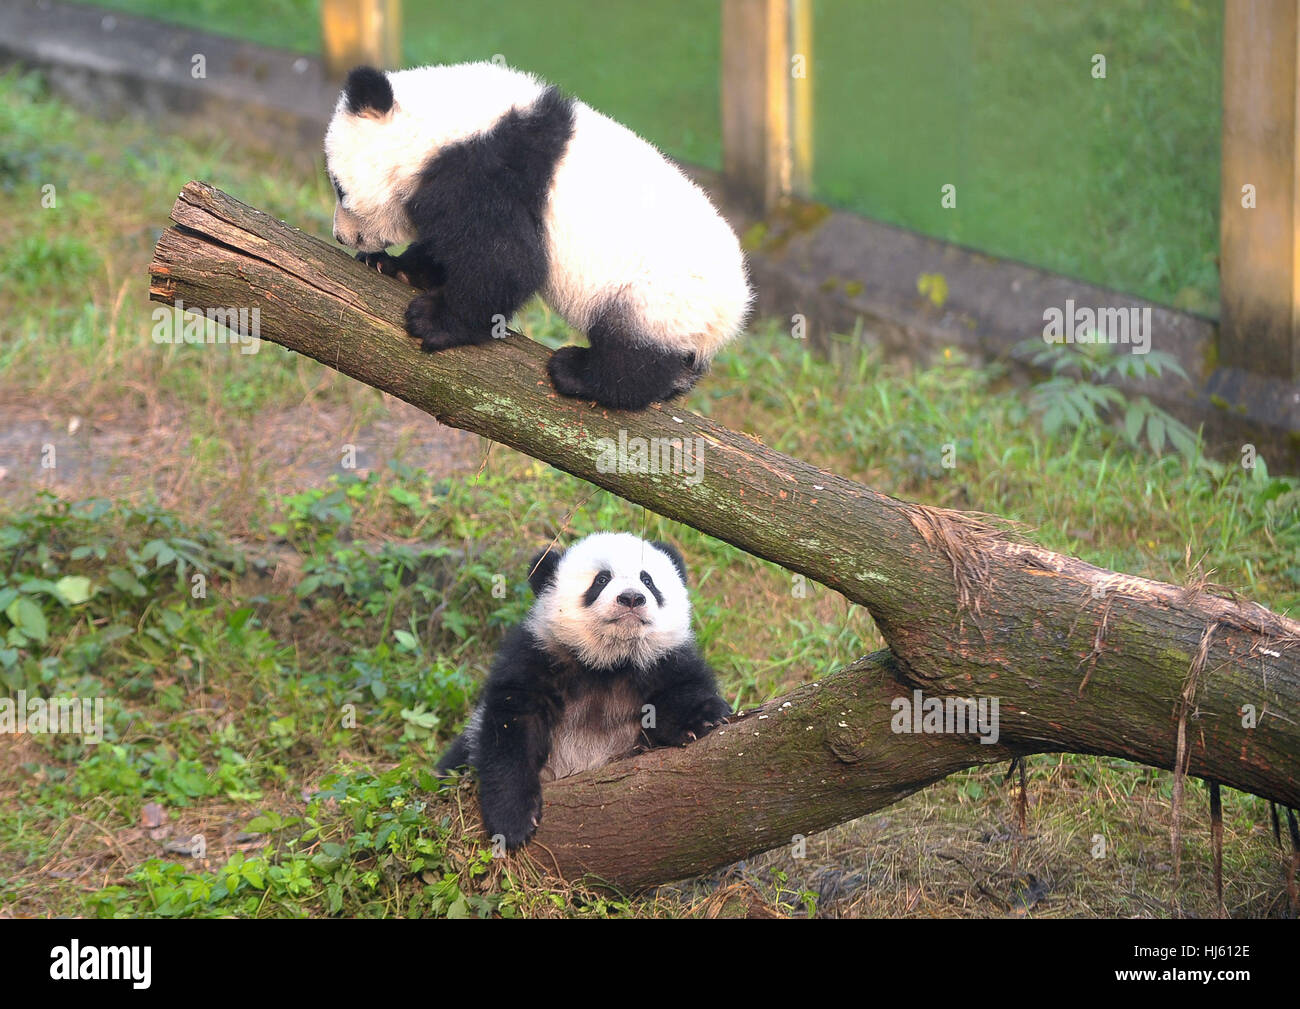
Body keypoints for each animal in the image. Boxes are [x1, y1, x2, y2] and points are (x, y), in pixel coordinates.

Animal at [323, 63, 753, 411]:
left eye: (339, 188)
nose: (341, 236)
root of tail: (730, 316)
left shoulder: (488, 173)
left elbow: (505, 262)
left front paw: (435, 320)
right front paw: (395, 266)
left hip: (659, 298)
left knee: (633, 353)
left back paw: (580, 373)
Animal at [436, 532, 731, 850]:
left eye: (648, 580)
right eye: (601, 580)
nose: (631, 598)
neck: (609, 663)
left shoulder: (663, 663)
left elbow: (682, 691)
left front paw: (704, 716)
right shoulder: (538, 659)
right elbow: (510, 730)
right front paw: (512, 820)